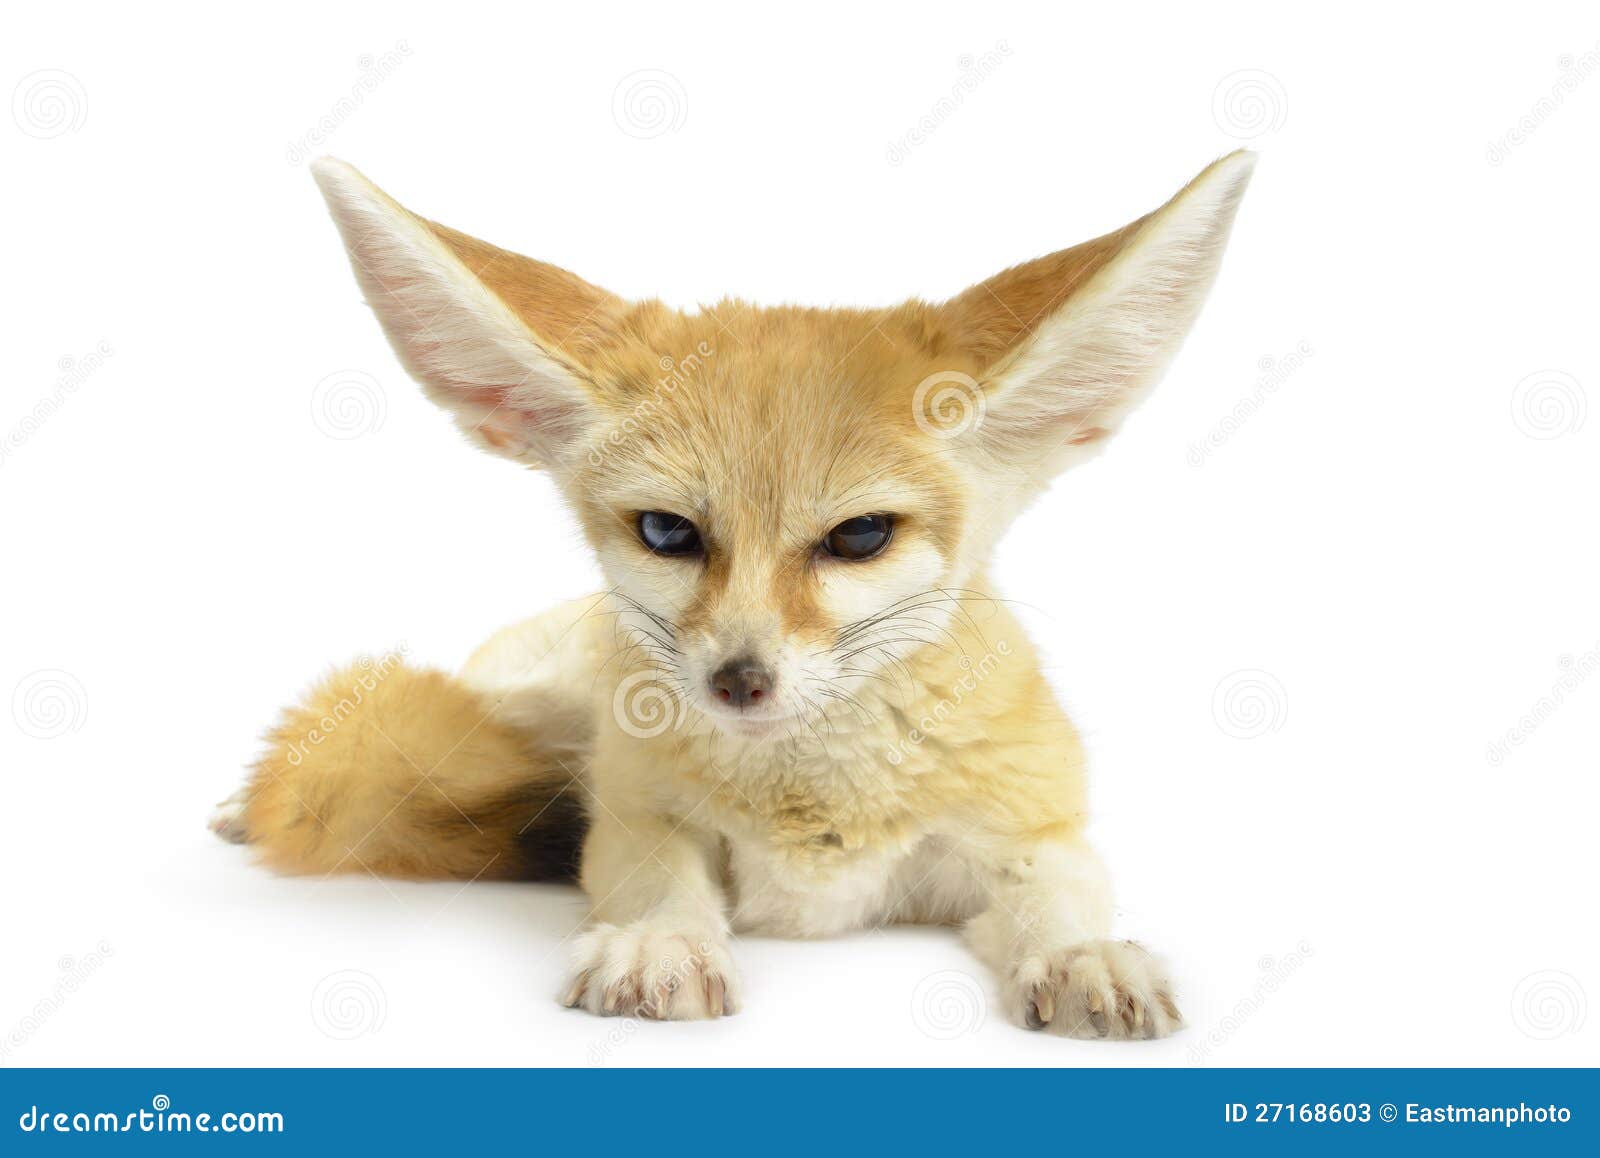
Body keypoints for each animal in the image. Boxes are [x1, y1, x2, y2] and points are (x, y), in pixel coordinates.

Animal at [212, 150, 1255, 1038]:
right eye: (668, 532)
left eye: (859, 536)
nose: (739, 682)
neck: (811, 805)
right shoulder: (633, 817)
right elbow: (659, 876)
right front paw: (664, 941)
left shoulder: (1034, 829)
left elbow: (1061, 897)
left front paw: (1083, 956)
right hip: (534, 709)